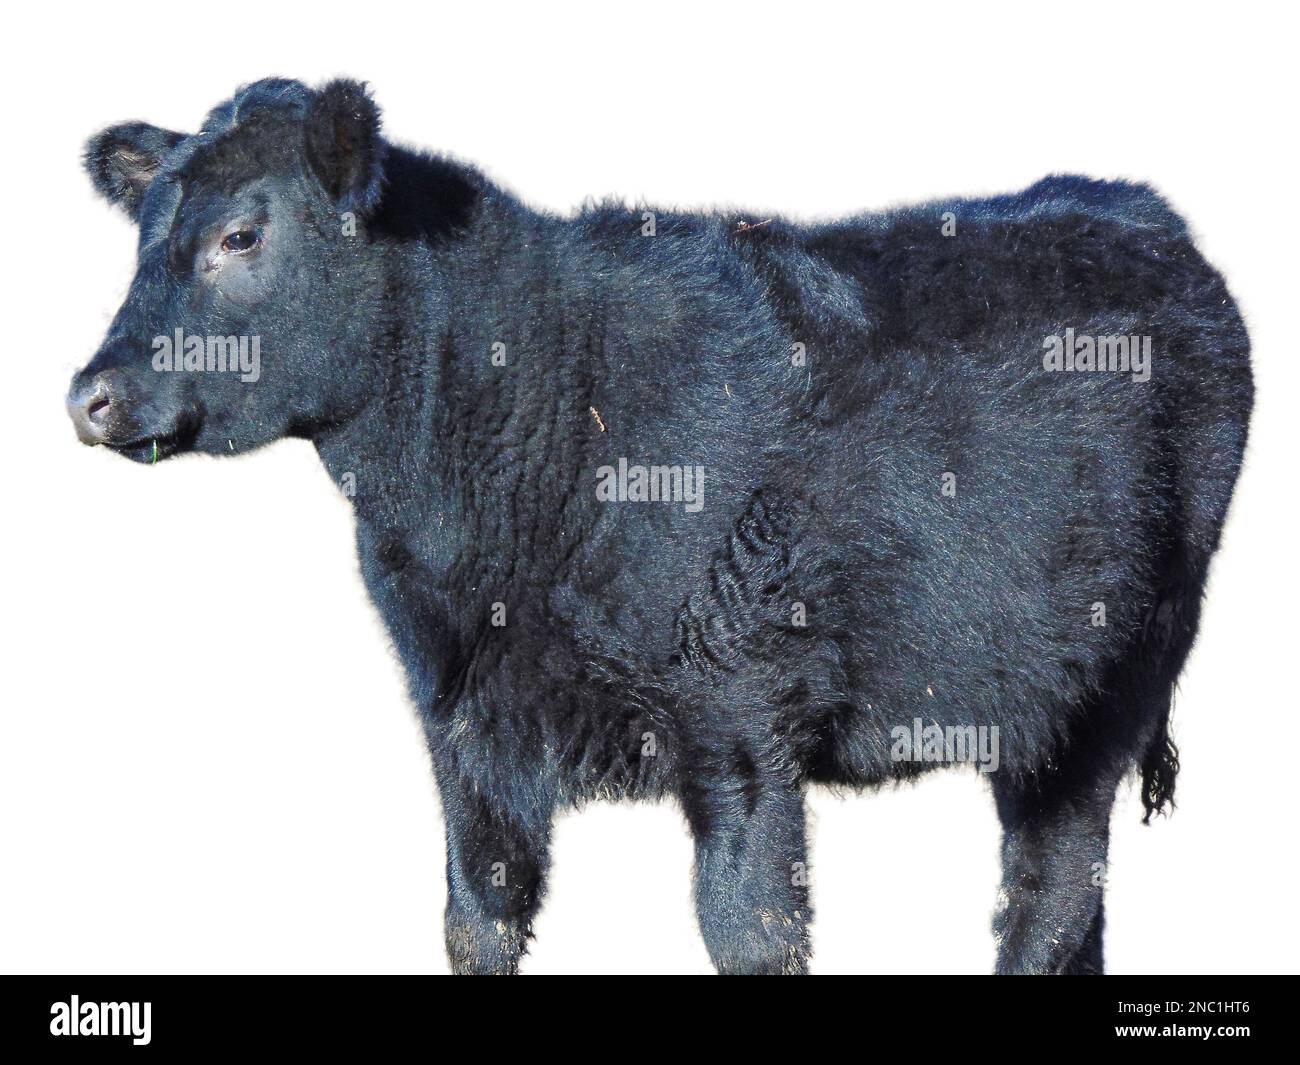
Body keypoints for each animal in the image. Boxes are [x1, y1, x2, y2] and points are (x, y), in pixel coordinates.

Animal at [68, 77, 1252, 974]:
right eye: (143, 243)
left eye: (239, 234)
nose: (91, 396)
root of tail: (1140, 212)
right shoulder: (462, 720)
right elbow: (476, 916)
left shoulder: (740, 709)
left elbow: (751, 928)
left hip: (1120, 671)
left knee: (1051, 894)